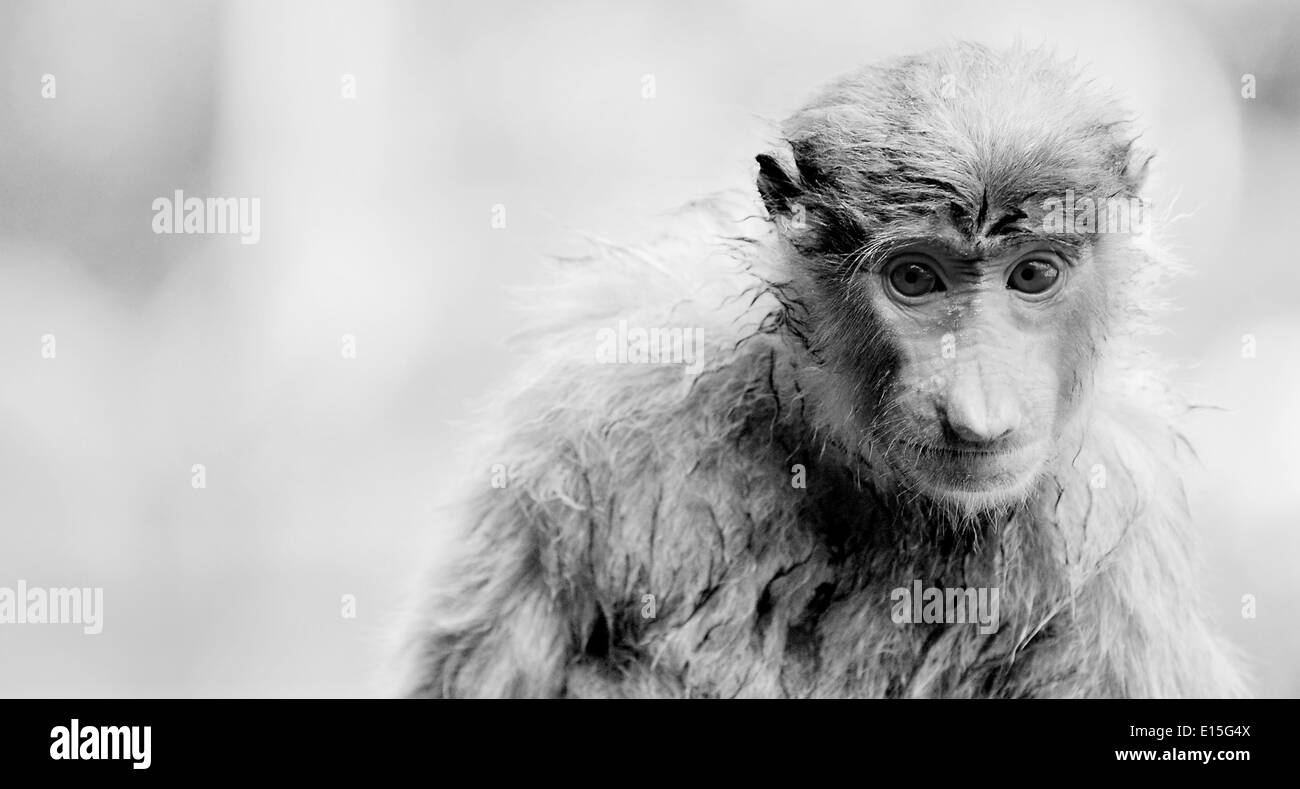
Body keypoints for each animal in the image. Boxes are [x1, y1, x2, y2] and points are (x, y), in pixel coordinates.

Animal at [391, 42, 1247, 698]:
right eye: (914, 278)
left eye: (1033, 275)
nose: (978, 408)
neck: (849, 464)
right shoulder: (596, 402)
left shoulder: (1115, 528)